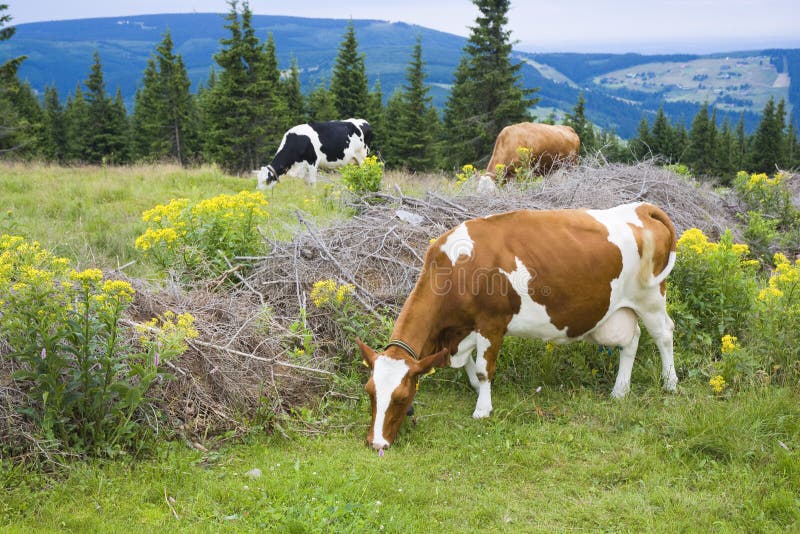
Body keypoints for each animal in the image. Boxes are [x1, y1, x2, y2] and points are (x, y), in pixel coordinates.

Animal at [357, 202, 678, 450]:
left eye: (401, 398)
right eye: (370, 391)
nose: (376, 443)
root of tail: (640, 207)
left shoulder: (491, 322)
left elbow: (484, 369)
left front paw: (482, 408)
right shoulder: (464, 330)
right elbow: (467, 364)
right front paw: (477, 388)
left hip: (650, 297)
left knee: (663, 334)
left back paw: (670, 383)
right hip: (617, 313)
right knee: (632, 340)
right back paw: (620, 391)